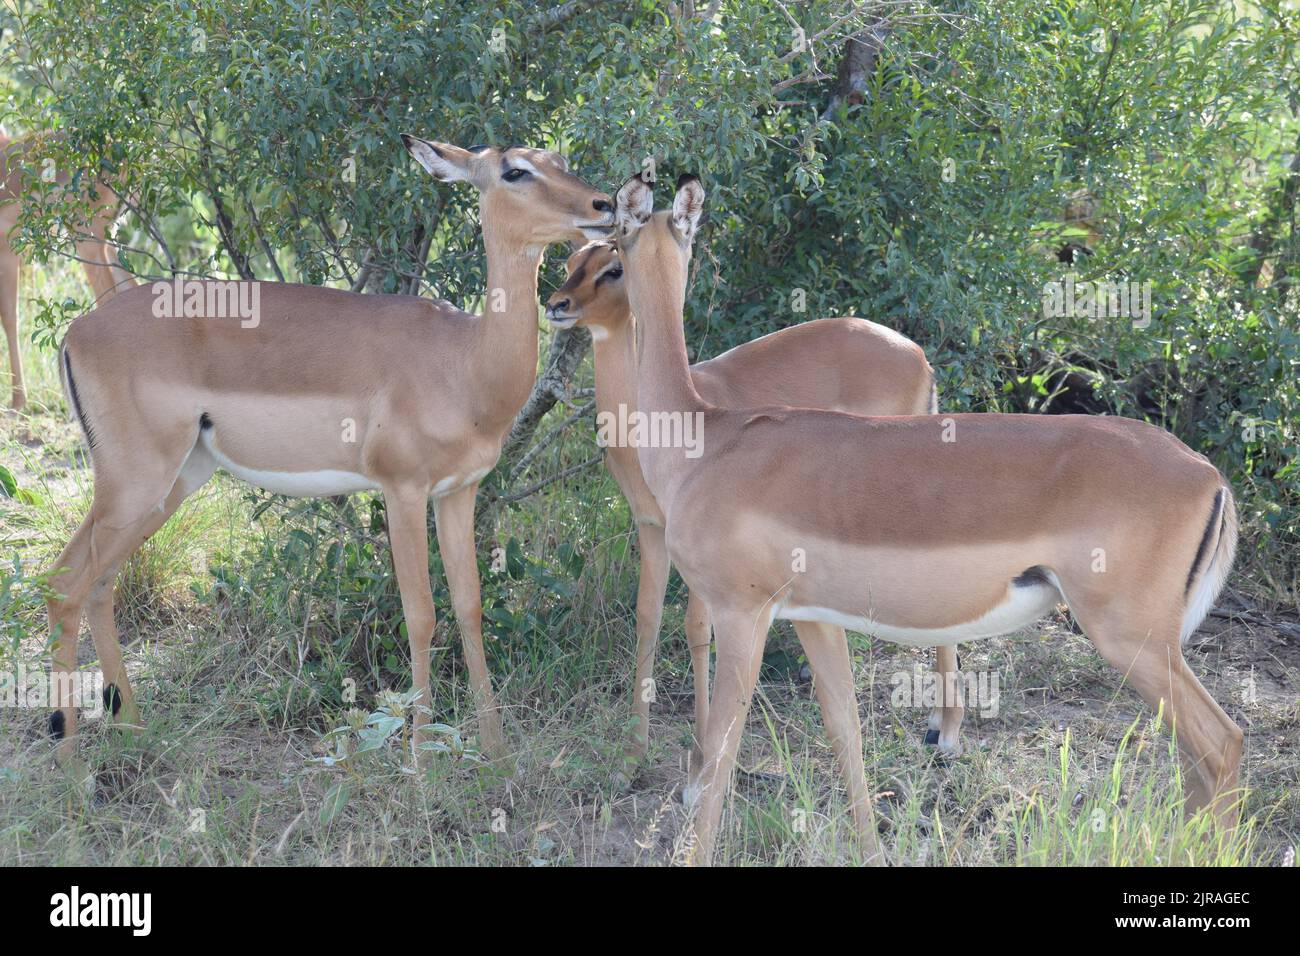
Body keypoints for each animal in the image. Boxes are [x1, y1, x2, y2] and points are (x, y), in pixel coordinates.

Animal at [45, 134, 613, 769]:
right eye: (515, 171)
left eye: (559, 160)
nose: (604, 204)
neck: (463, 362)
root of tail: (76, 333)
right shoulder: (402, 490)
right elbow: (421, 613)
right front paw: (419, 760)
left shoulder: (459, 492)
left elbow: (469, 606)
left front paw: (494, 752)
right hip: (135, 483)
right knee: (65, 586)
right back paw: (70, 763)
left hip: (169, 484)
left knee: (96, 585)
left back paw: (136, 730)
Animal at [544, 241, 966, 761]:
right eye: (570, 262)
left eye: (613, 268)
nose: (556, 304)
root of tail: (919, 357)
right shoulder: (651, 528)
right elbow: (648, 618)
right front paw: (634, 751)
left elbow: (696, 627)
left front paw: (701, 739)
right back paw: (934, 722)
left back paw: (946, 733)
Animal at [613, 173, 1242, 865]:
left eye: (612, 242)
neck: (705, 440)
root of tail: (1208, 475)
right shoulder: (812, 619)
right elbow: (847, 734)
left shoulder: (740, 613)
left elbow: (723, 752)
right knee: (1196, 762)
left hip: (1132, 639)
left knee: (1223, 745)